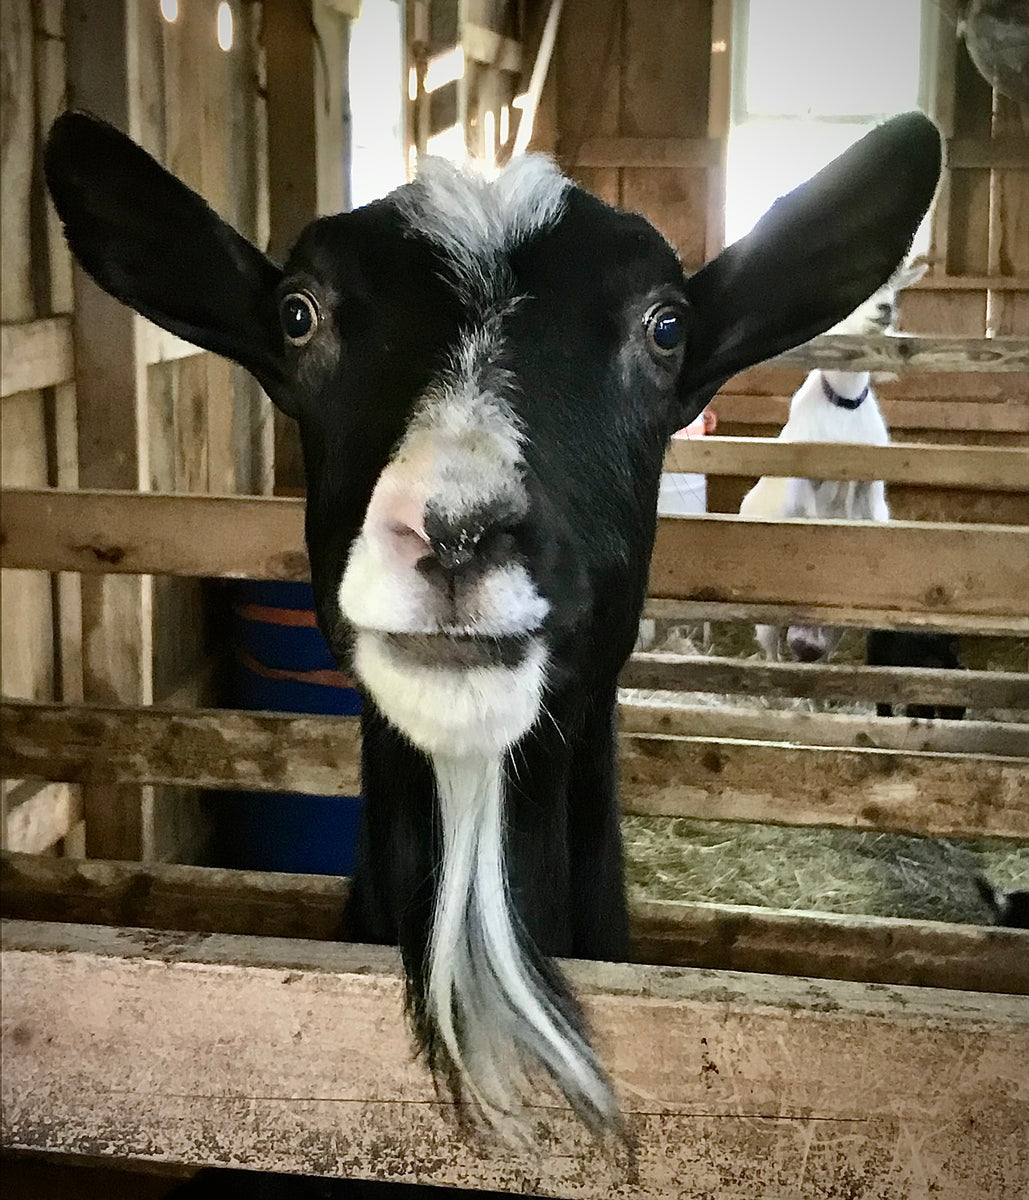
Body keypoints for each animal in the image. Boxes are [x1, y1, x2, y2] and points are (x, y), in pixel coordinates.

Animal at [739, 262, 926, 663]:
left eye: (894, 291)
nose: (885, 308)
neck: (844, 405)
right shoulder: (805, 481)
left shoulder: (871, 485)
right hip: (764, 615)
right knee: (772, 646)